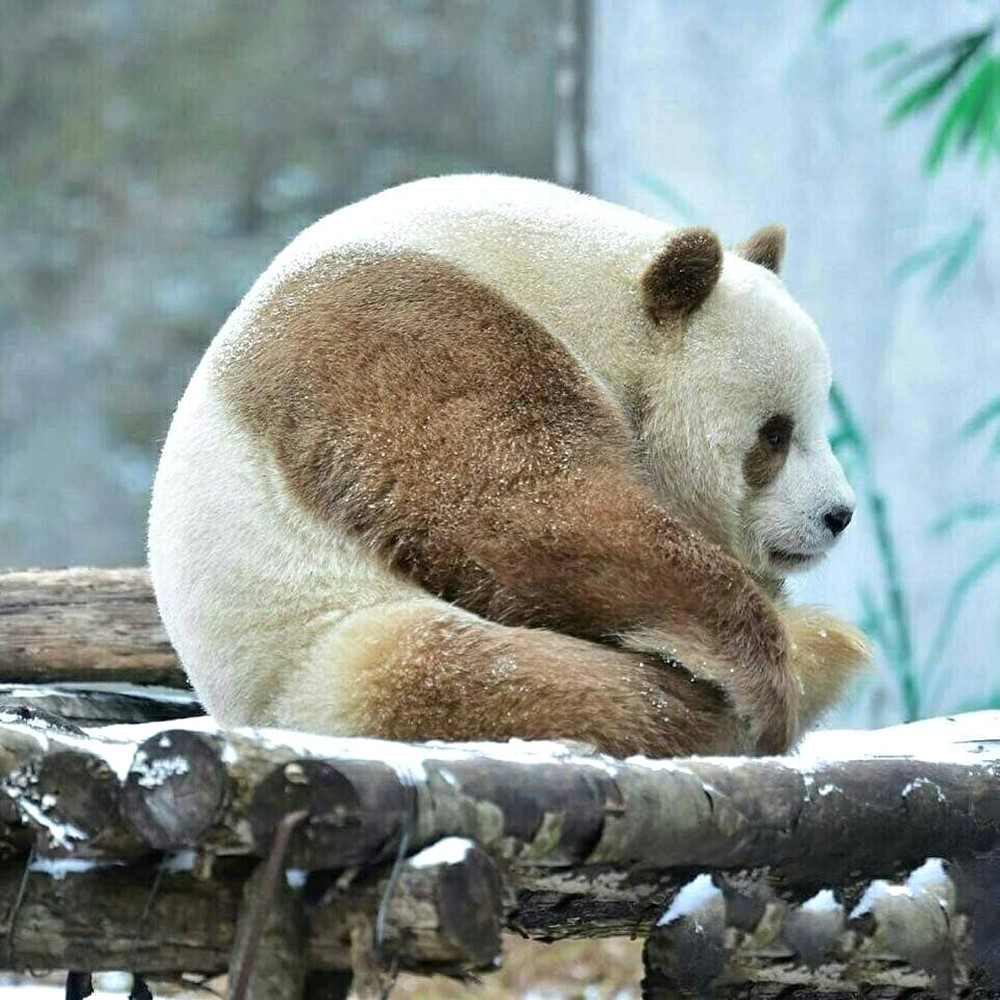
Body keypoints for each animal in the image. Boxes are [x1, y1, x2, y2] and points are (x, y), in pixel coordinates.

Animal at [148, 174, 869, 758]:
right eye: (774, 436)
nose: (838, 515)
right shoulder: (414, 326)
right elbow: (524, 514)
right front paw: (764, 674)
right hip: (325, 649)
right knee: (484, 681)